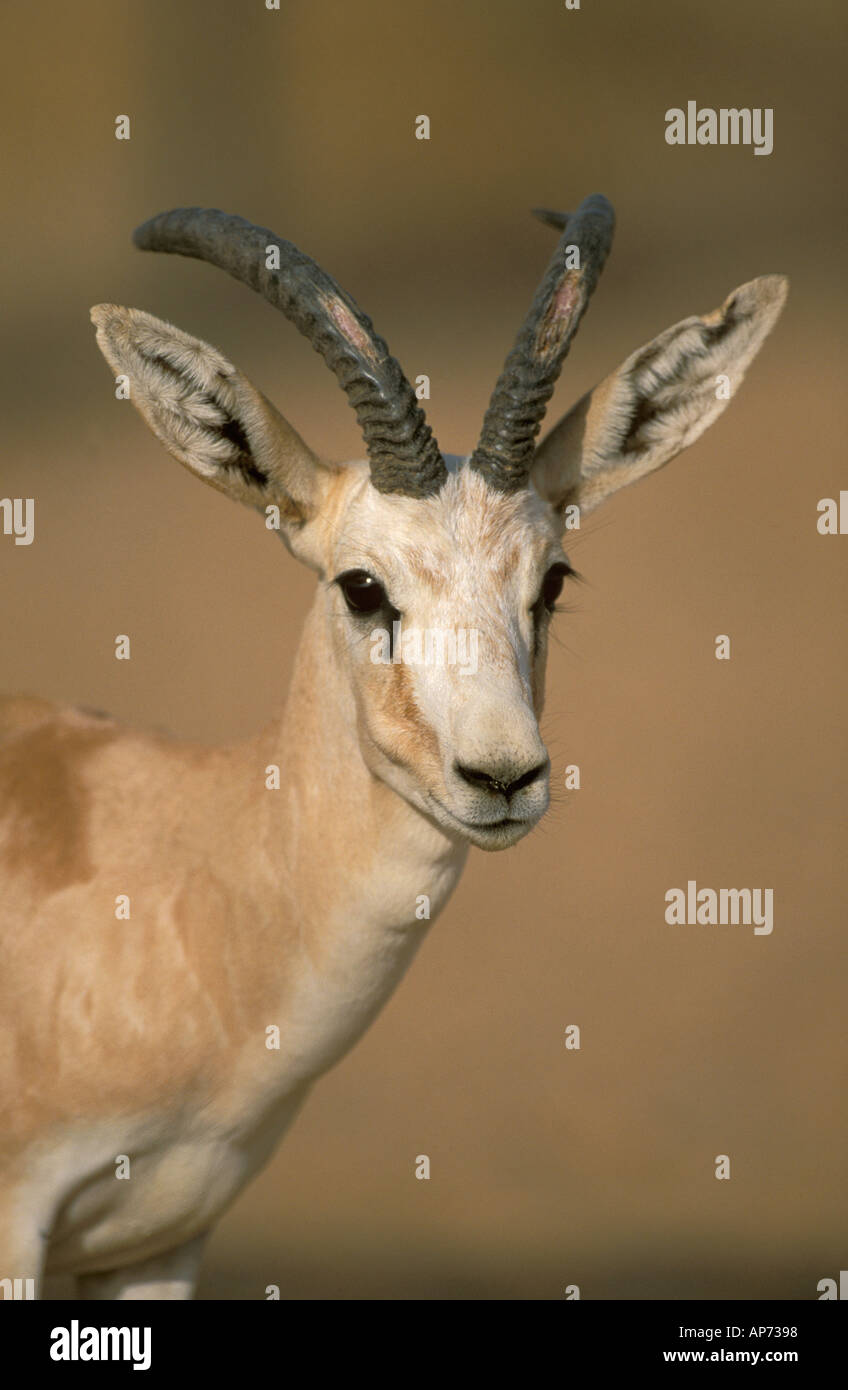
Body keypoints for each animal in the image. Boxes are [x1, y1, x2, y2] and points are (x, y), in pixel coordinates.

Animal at [0, 197, 786, 1299]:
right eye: (363, 585)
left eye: (552, 579)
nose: (502, 775)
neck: (199, 865)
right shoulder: (17, 1219)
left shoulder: (157, 1245)